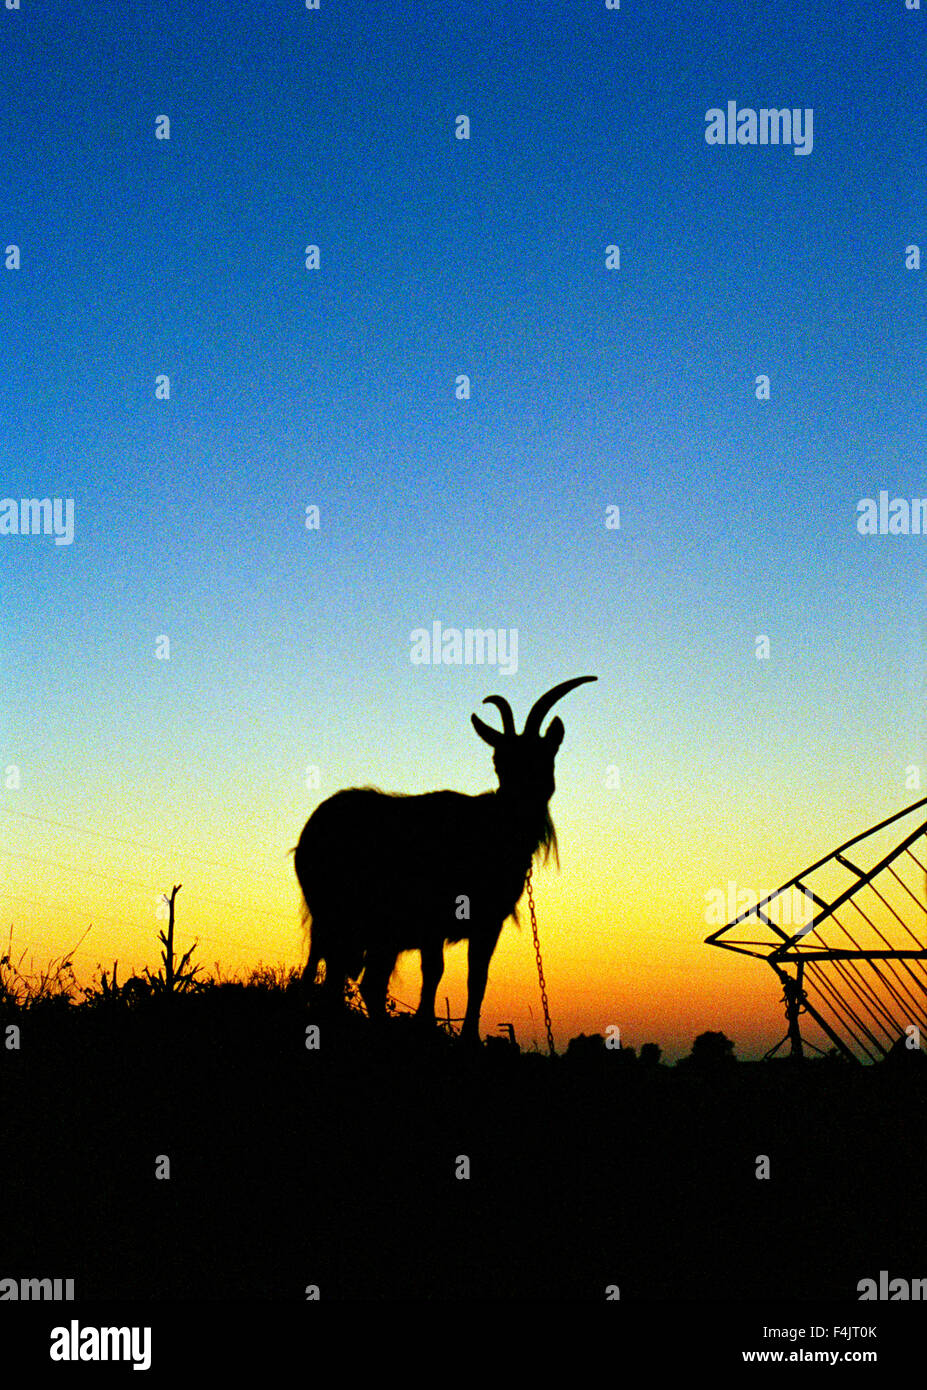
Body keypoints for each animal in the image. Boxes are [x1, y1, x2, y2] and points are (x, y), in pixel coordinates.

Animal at [294, 675, 596, 1041]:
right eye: (499, 762)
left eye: (541, 757)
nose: (520, 803)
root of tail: (312, 827)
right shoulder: (432, 916)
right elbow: (434, 970)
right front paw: (425, 1025)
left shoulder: (487, 921)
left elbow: (477, 977)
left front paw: (470, 1038)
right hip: (336, 914)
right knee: (332, 972)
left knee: (356, 980)